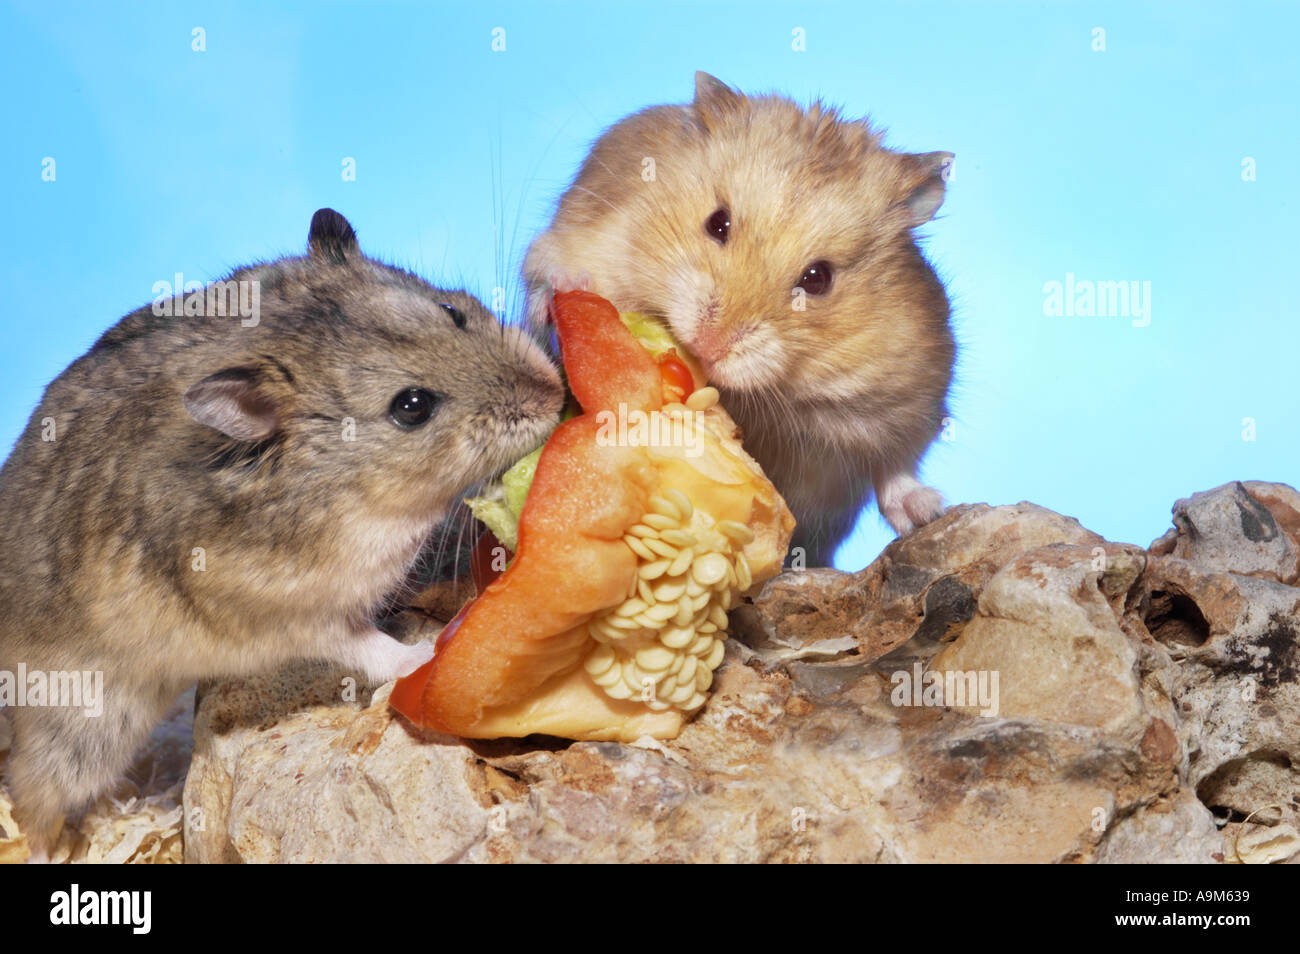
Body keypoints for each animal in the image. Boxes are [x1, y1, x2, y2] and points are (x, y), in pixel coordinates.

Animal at [0, 209, 564, 859]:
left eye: (453, 312)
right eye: (412, 406)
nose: (555, 392)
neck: (351, 486)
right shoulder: (295, 613)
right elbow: (370, 647)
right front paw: (428, 649)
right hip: (82, 723)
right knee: (32, 792)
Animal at [523, 72, 955, 567]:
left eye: (818, 278)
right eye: (717, 223)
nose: (707, 345)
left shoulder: (916, 395)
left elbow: (895, 465)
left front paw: (926, 512)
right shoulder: (576, 235)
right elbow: (548, 278)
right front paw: (572, 285)